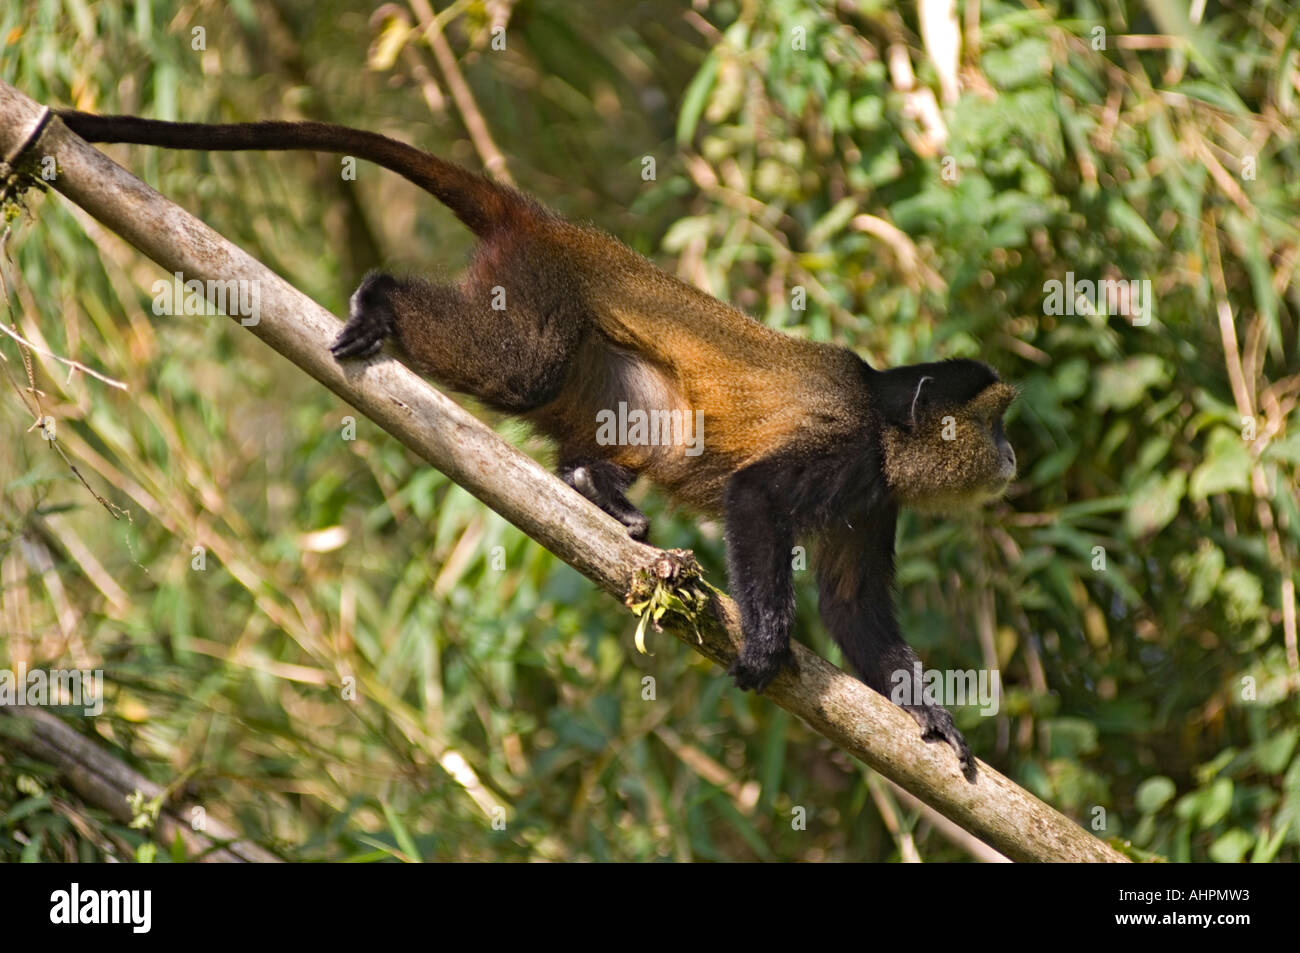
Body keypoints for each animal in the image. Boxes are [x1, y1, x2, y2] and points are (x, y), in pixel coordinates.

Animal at [54, 111, 1017, 780]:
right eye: (998, 421)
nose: (1011, 457)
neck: (886, 422)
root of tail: (553, 229)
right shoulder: (846, 445)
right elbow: (755, 498)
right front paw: (767, 645)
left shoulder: (875, 492)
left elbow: (856, 607)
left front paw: (931, 716)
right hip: (535, 296)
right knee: (522, 367)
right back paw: (381, 301)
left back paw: (591, 484)